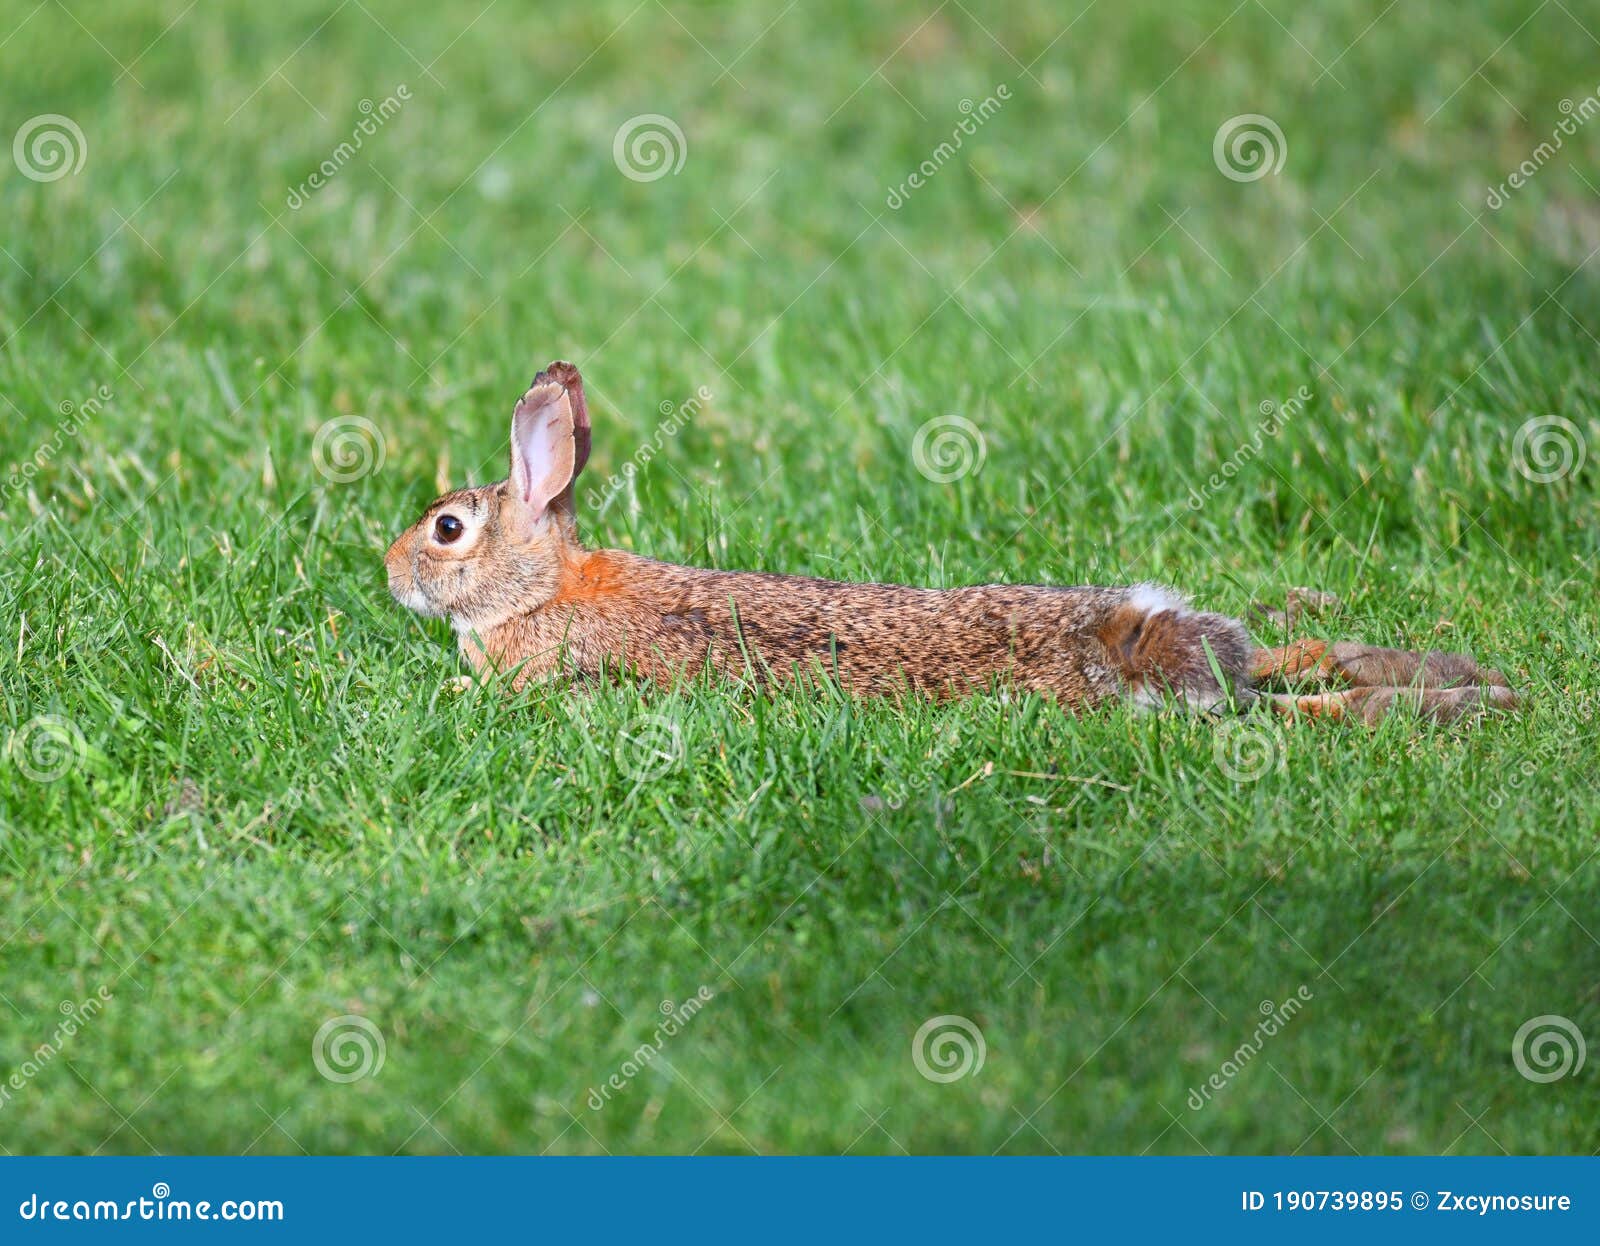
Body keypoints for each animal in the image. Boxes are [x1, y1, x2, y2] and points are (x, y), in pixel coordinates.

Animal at [385, 362, 1518, 725]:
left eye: (447, 528)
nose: (389, 570)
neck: (538, 587)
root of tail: (1129, 639)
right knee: (1297, 664)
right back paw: (1477, 686)